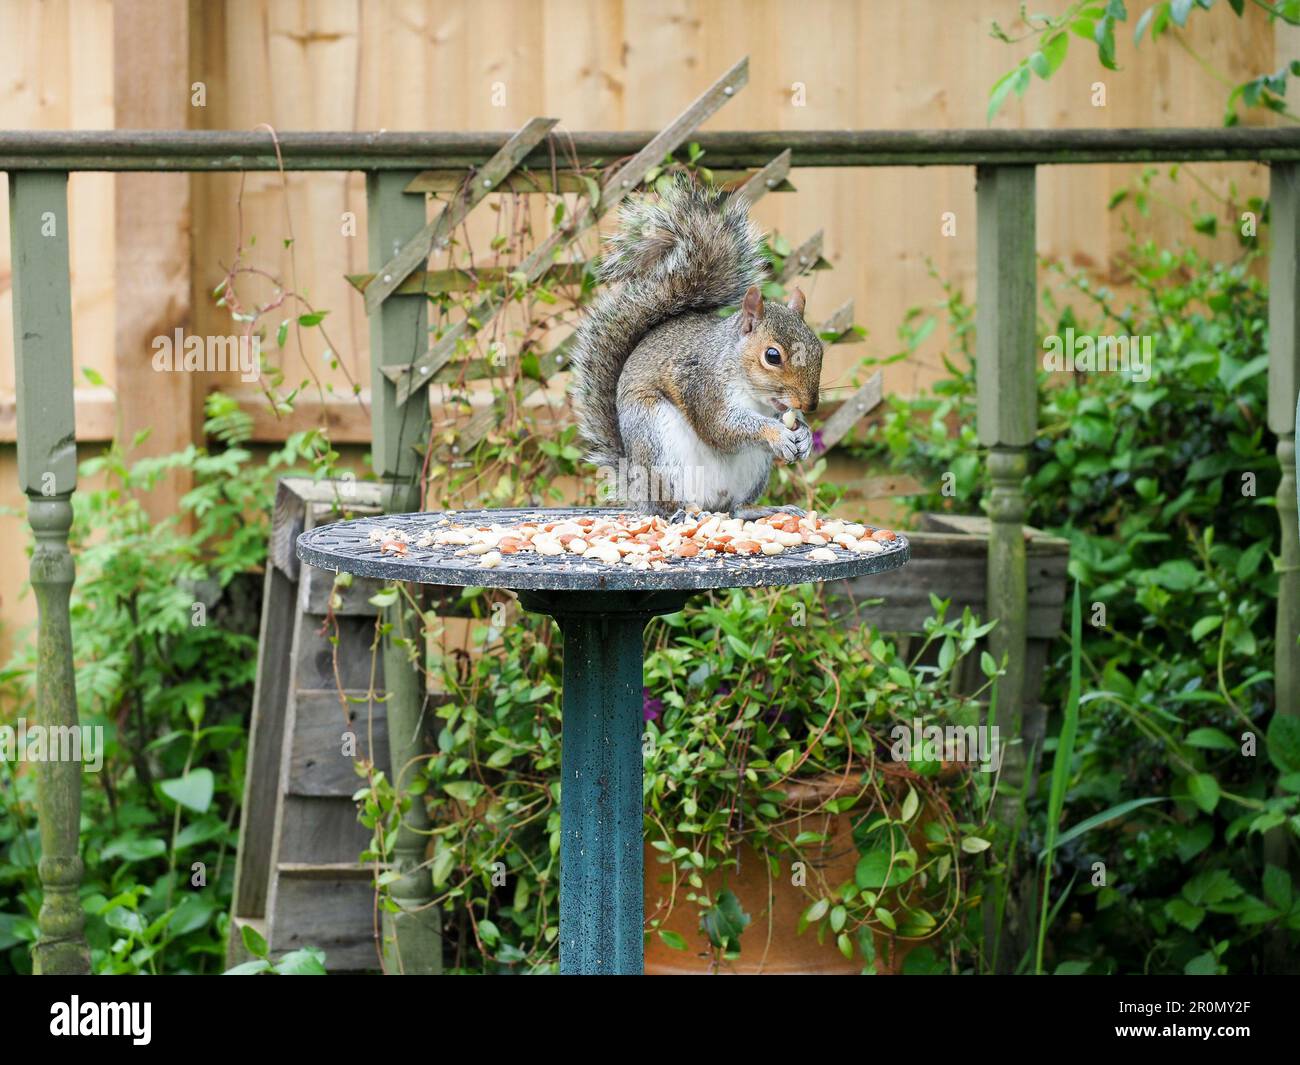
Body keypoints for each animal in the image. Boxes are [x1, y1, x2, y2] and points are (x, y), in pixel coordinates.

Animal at [569, 176, 824, 519]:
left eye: (819, 349)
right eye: (772, 356)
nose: (810, 404)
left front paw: (805, 434)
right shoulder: (702, 384)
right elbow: (720, 427)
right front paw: (778, 433)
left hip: (754, 469)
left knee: (736, 508)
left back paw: (760, 509)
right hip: (657, 445)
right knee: (667, 506)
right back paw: (686, 512)